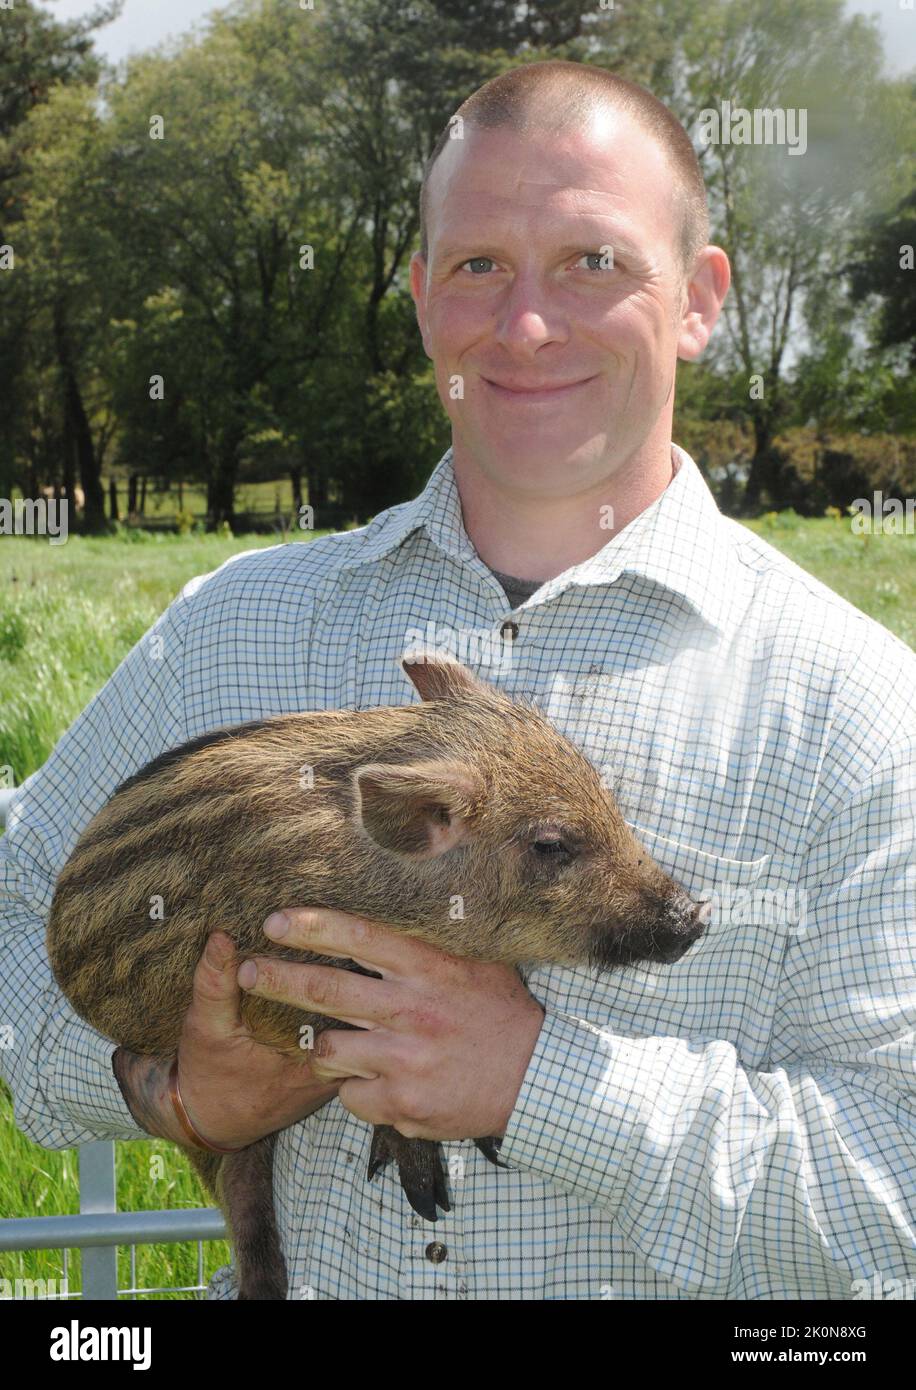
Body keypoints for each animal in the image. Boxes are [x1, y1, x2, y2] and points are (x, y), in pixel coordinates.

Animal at [45, 651, 708, 1300]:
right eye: (551, 845)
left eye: (609, 801)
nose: (695, 914)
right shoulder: (279, 989)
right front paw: (430, 1197)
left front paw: (483, 1152)